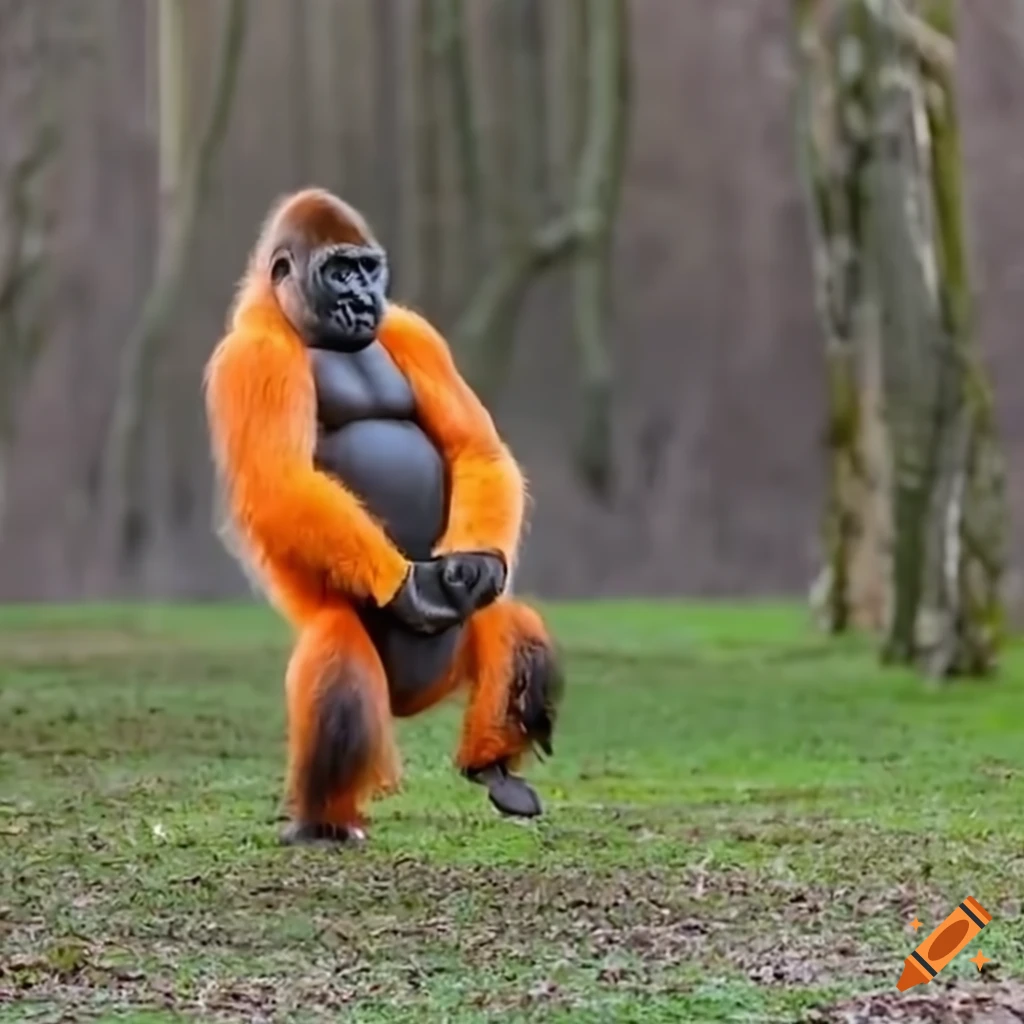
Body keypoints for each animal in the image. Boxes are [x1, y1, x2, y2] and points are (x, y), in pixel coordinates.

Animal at [203, 188, 565, 845]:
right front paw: (406, 589)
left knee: (513, 624)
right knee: (340, 661)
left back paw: (495, 766)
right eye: (338, 271)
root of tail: (408, 703)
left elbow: (476, 448)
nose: (361, 299)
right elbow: (282, 482)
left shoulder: (412, 330)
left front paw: (474, 567)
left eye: (368, 268)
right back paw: (323, 820)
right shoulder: (254, 355)